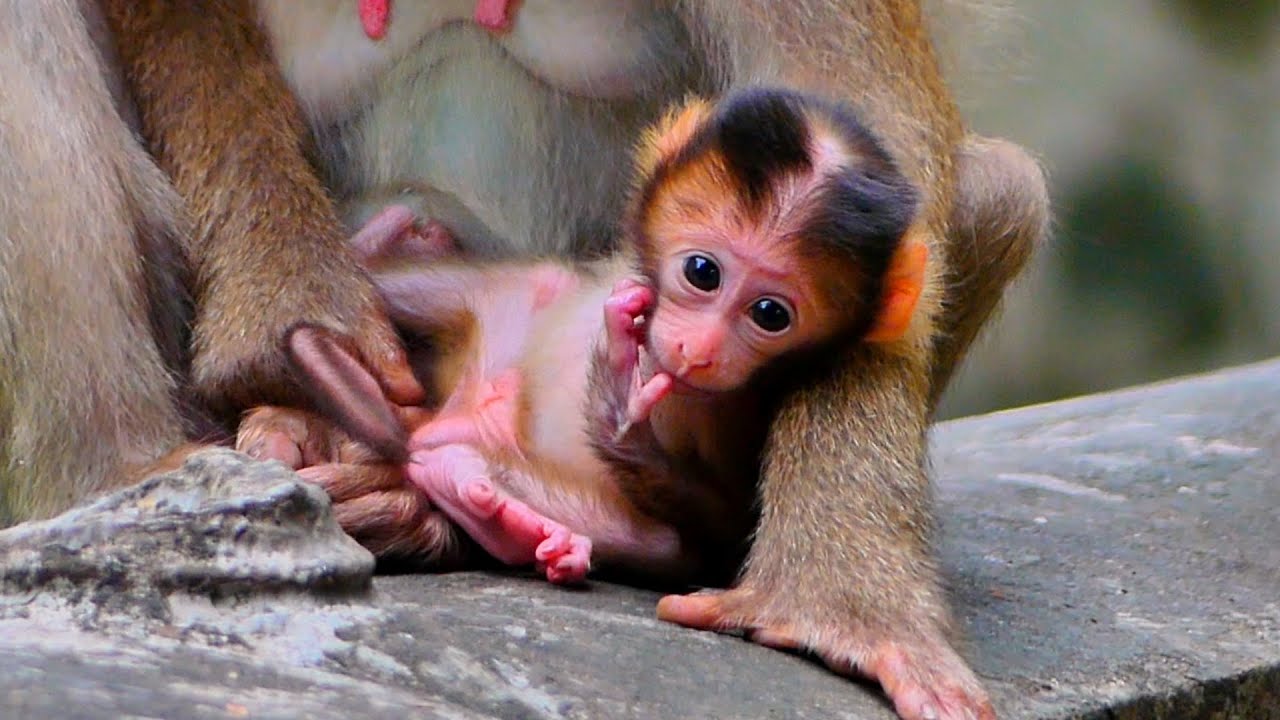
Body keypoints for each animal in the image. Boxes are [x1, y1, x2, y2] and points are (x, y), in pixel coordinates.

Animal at [260, 88, 929, 589]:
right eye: (703, 272)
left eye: (770, 313)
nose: (698, 349)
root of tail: (455, 413)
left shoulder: (733, 410)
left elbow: (715, 533)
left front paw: (619, 407)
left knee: (656, 543)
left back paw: (485, 502)